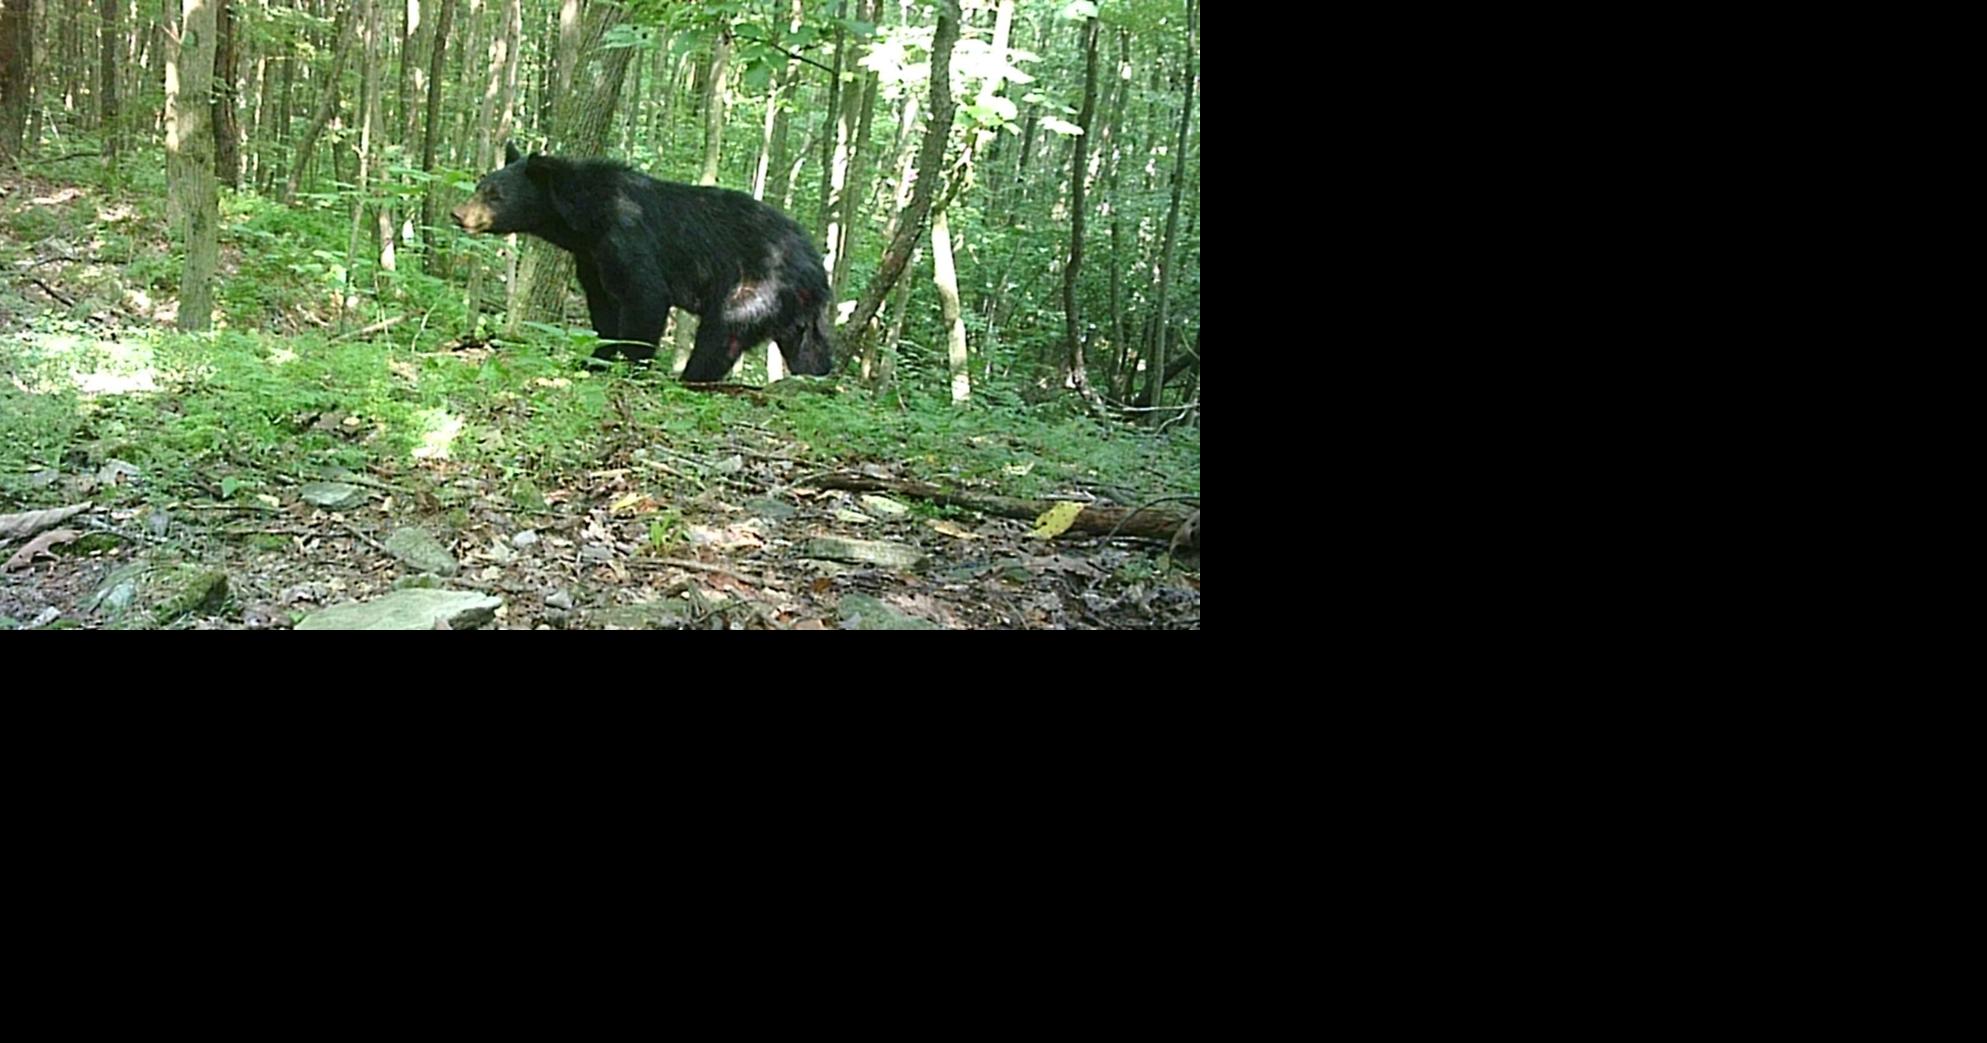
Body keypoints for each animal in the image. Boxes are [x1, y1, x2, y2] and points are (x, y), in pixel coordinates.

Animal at [450, 143, 834, 381]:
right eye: (481, 184)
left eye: (495, 194)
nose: (458, 213)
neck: (586, 220)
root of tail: (817, 268)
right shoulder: (592, 257)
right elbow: (603, 305)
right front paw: (596, 358)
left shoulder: (626, 237)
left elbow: (644, 297)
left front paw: (633, 364)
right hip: (799, 315)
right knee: (810, 351)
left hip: (758, 285)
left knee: (722, 332)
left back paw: (689, 378)